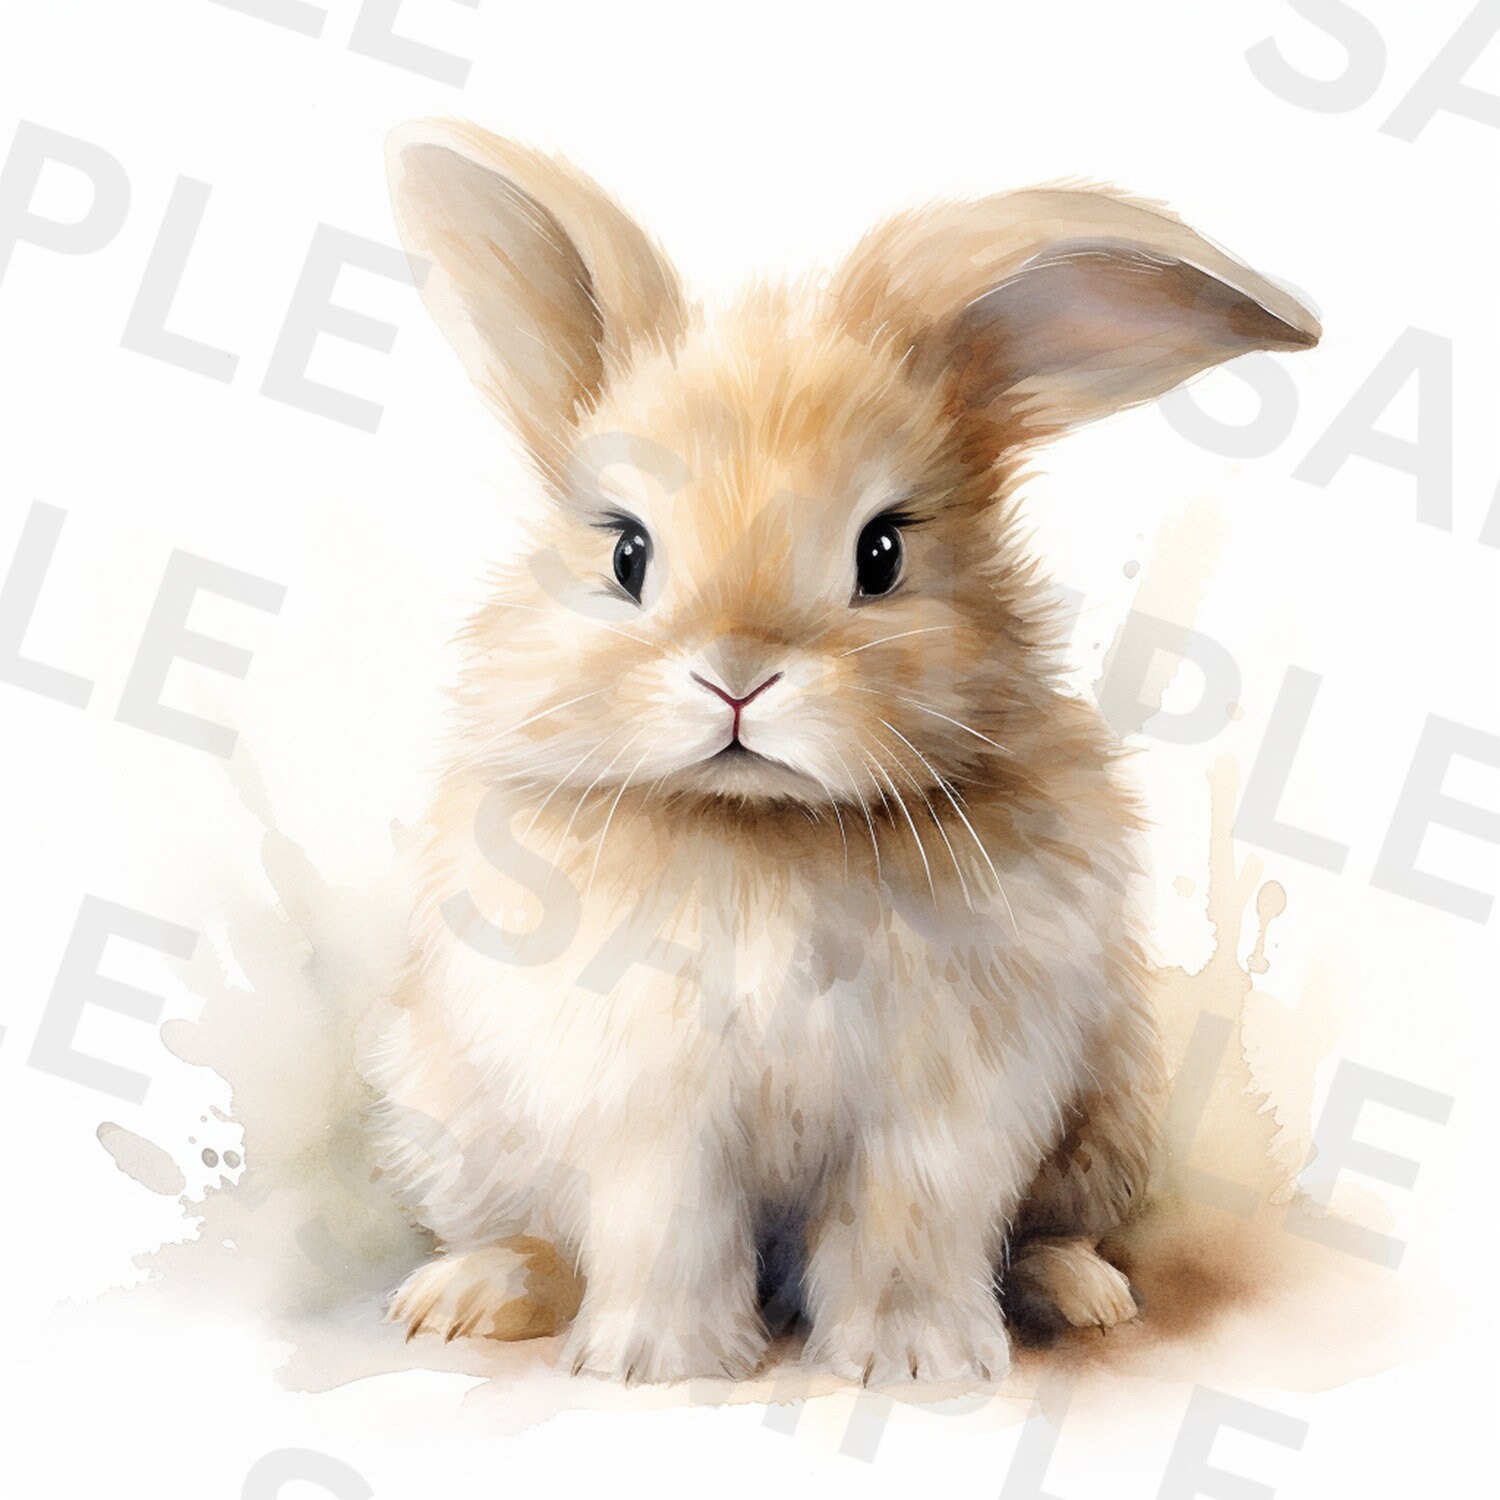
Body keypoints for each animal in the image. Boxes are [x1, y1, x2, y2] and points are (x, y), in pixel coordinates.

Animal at [363, 119, 1319, 1386]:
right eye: (626, 552)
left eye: (882, 553)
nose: (738, 674)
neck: (765, 826)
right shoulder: (644, 1103)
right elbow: (663, 1220)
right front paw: (663, 1362)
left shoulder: (948, 1105)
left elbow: (911, 1218)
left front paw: (916, 1364)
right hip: (449, 1124)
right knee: (537, 1233)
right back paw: (469, 1294)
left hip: (1106, 1118)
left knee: (1048, 1228)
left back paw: (1081, 1294)